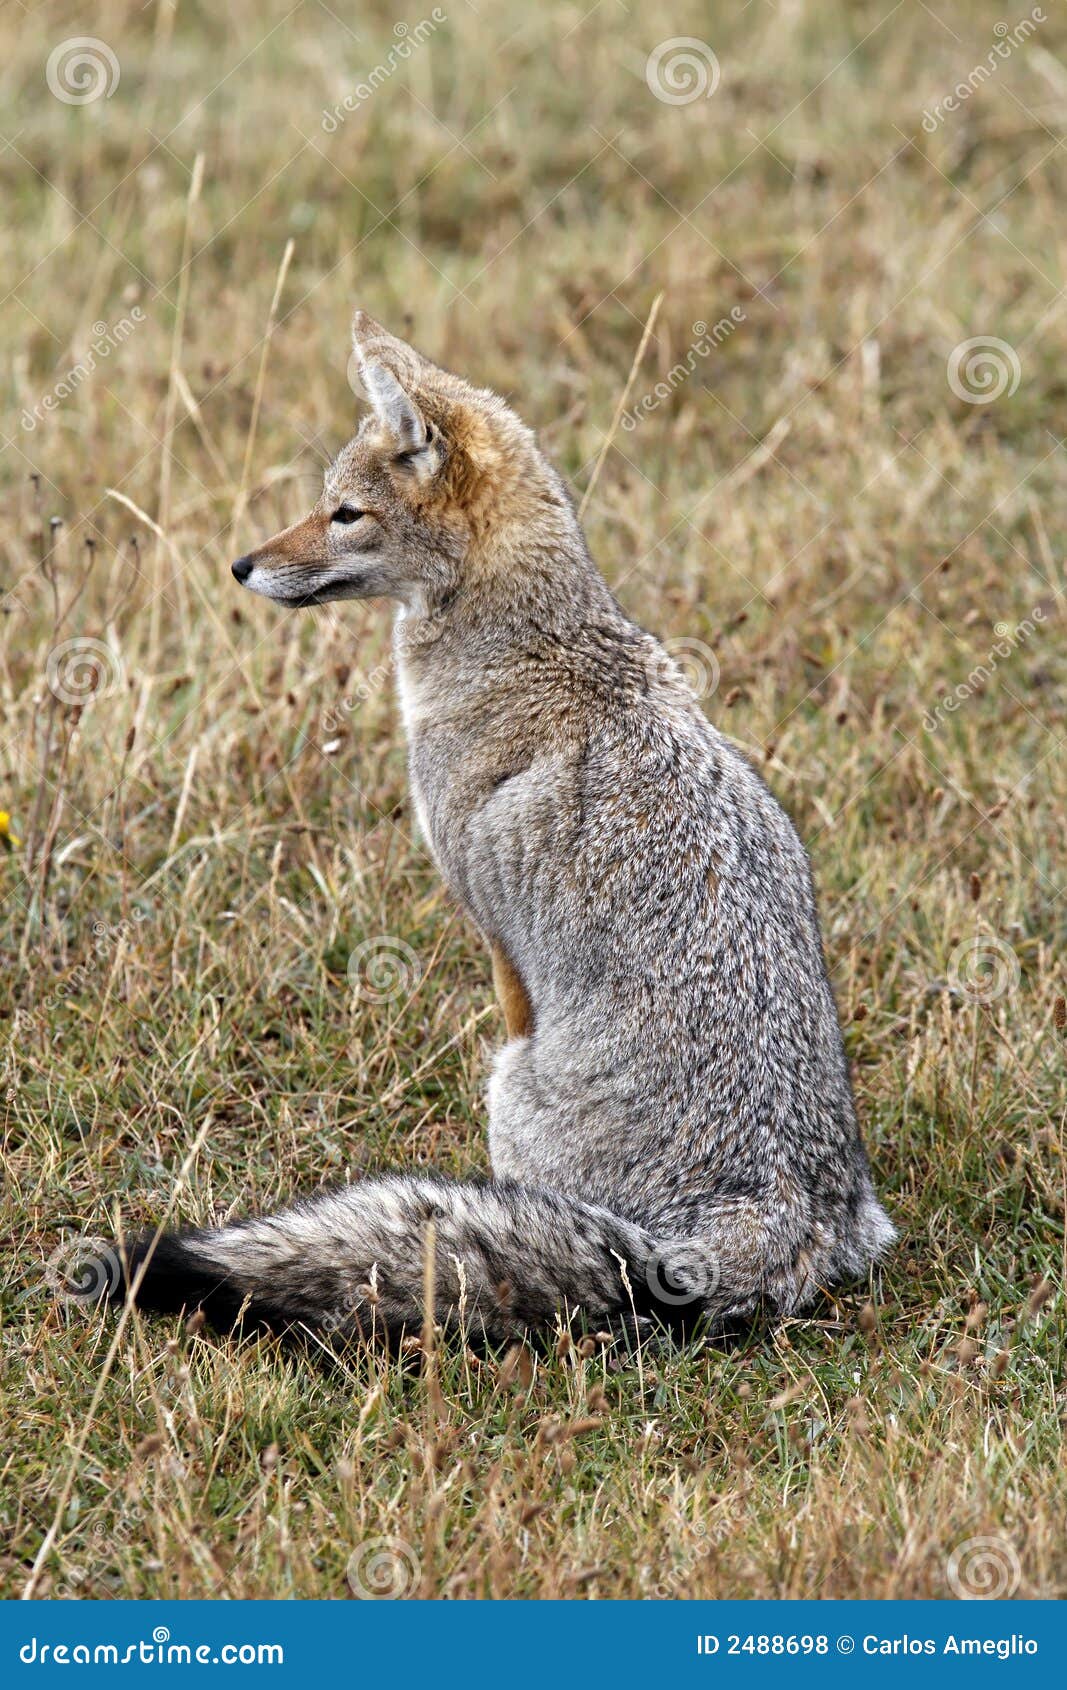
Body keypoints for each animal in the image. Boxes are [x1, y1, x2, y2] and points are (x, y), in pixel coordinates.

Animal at [98, 309, 895, 1348]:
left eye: (342, 513)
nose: (239, 565)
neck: (532, 648)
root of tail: (776, 1217)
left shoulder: (497, 944)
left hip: (507, 1083)